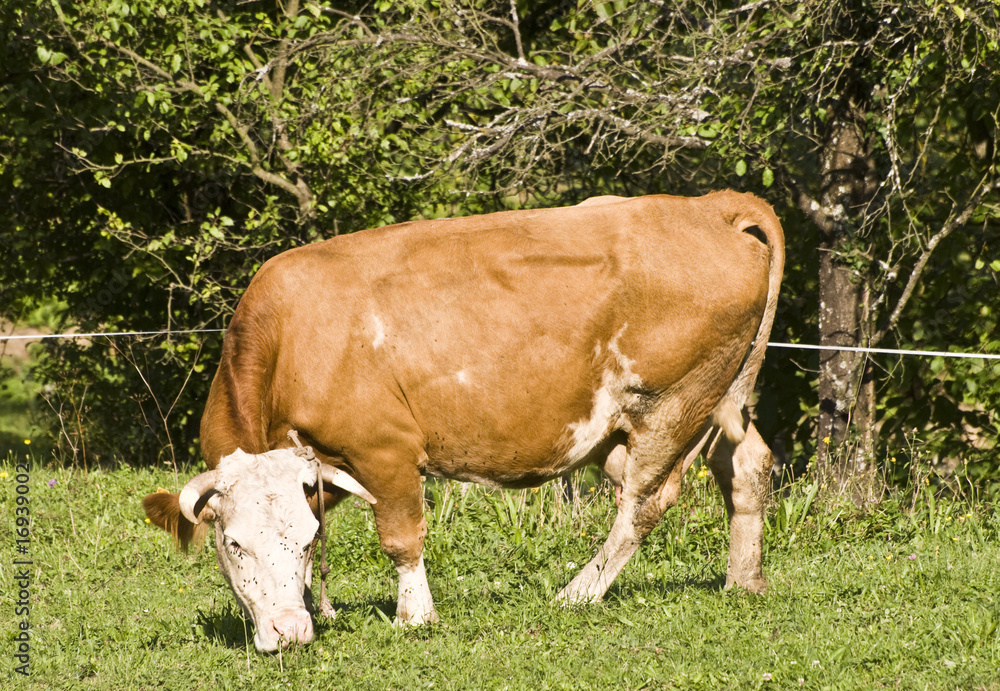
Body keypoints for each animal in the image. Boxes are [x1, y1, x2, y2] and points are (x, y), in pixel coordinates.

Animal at [143, 191, 784, 652]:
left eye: (300, 541)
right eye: (234, 543)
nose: (288, 632)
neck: (292, 338)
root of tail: (708, 207)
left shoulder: (384, 451)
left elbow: (402, 538)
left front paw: (413, 617)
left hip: (671, 406)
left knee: (645, 502)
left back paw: (577, 593)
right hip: (712, 405)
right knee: (747, 466)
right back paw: (744, 581)